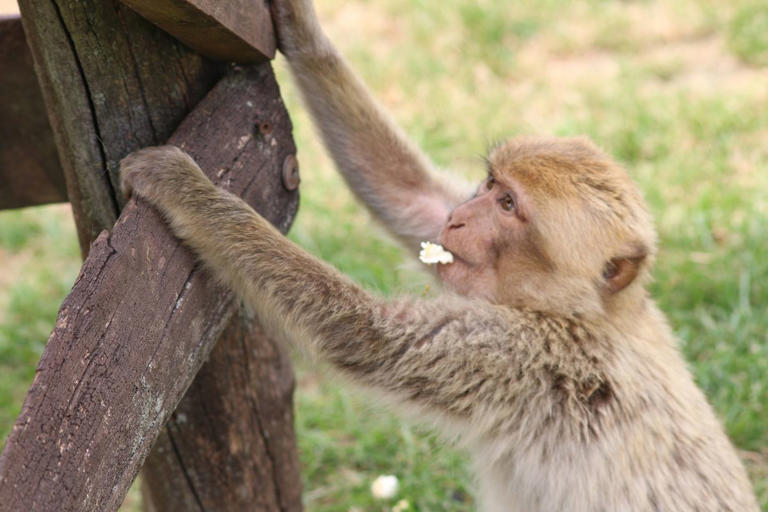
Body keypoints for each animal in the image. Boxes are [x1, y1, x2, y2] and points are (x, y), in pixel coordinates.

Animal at [119, 0, 760, 510]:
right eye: (489, 186)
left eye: (509, 205)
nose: (460, 218)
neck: (592, 313)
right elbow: (409, 194)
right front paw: (304, 31)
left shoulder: (529, 357)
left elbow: (367, 335)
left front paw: (189, 191)